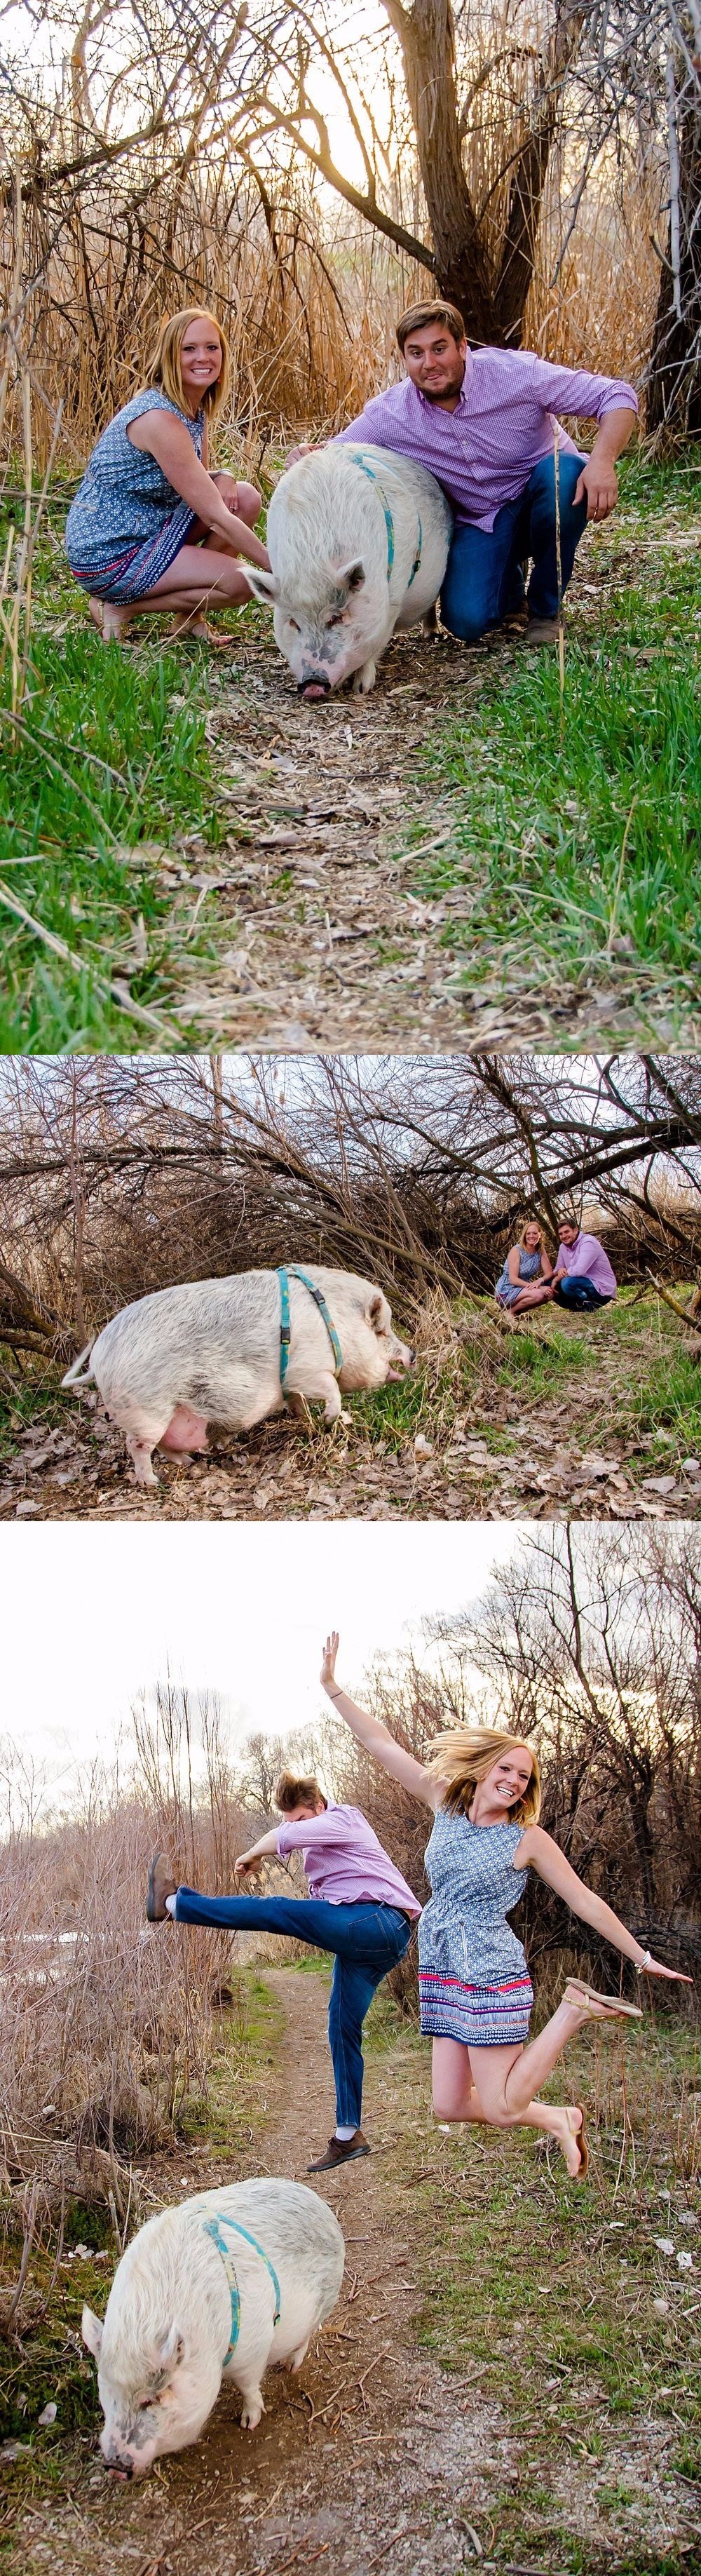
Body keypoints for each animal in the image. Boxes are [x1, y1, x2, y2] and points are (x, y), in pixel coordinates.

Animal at [61, 1262, 414, 1487]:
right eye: (382, 1331)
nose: (412, 1356)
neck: (334, 1323)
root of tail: (99, 1357)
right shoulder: (307, 1370)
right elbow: (331, 1390)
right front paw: (329, 1419)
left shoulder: (295, 1386)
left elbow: (299, 1403)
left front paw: (310, 1423)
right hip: (147, 1410)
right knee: (137, 1446)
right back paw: (154, 1482)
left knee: (162, 1446)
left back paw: (191, 1463)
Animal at [82, 2177, 345, 2477]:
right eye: (107, 2392)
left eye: (152, 2399)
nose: (114, 2465)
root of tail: (317, 2200)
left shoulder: (254, 2348)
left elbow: (249, 2387)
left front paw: (248, 2423)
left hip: (325, 2300)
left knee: (308, 2335)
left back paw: (291, 2367)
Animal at [243, 441, 453, 697]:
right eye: (294, 623)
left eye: (337, 618)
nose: (312, 684)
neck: (314, 557)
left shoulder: (393, 596)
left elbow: (376, 643)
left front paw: (362, 689)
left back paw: (432, 634)